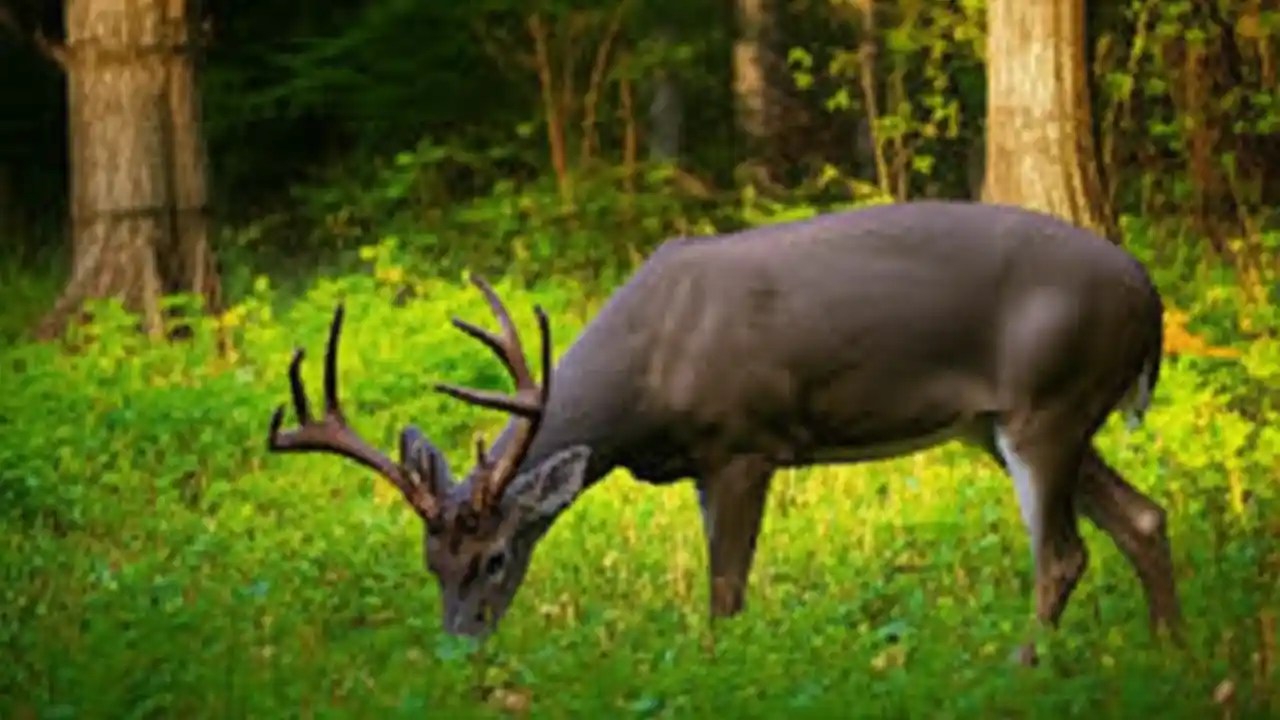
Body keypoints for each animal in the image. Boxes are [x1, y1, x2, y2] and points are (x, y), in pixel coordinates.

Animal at [266, 200, 1183, 664]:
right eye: (431, 563)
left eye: (494, 557)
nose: (458, 653)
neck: (651, 364)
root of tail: (1149, 296)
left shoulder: (745, 443)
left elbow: (725, 597)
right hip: (1006, 422)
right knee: (1143, 517)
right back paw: (1172, 658)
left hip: (1046, 402)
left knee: (1062, 555)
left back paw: (1020, 673)